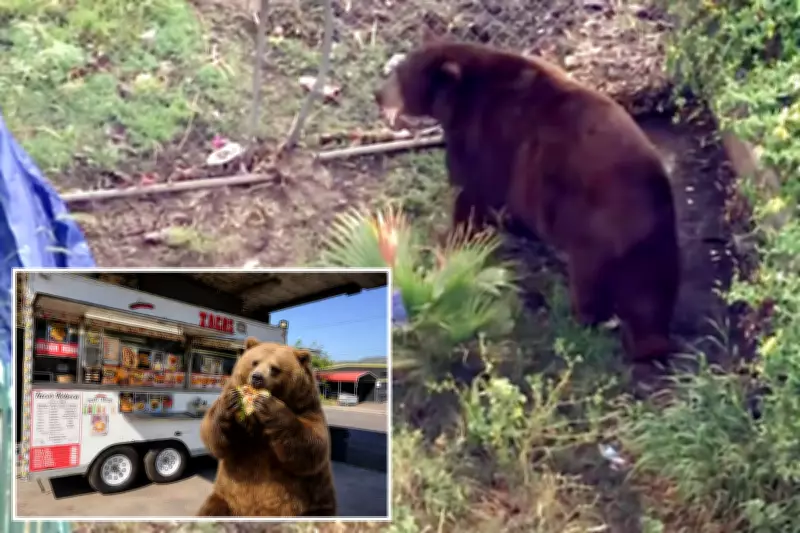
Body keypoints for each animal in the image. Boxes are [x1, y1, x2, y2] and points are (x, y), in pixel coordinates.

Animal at [197, 338, 337, 517]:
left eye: (275, 368)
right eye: (255, 362)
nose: (257, 377)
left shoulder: (307, 409)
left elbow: (313, 447)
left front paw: (269, 405)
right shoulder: (242, 433)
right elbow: (217, 439)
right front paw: (231, 401)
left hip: (314, 503)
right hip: (226, 497)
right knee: (212, 509)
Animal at [374, 33, 681, 365]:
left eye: (401, 74)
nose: (378, 94)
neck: (459, 99)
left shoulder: (485, 135)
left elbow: (472, 193)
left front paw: (455, 241)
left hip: (595, 231)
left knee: (590, 283)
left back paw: (574, 317)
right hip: (656, 247)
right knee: (651, 295)